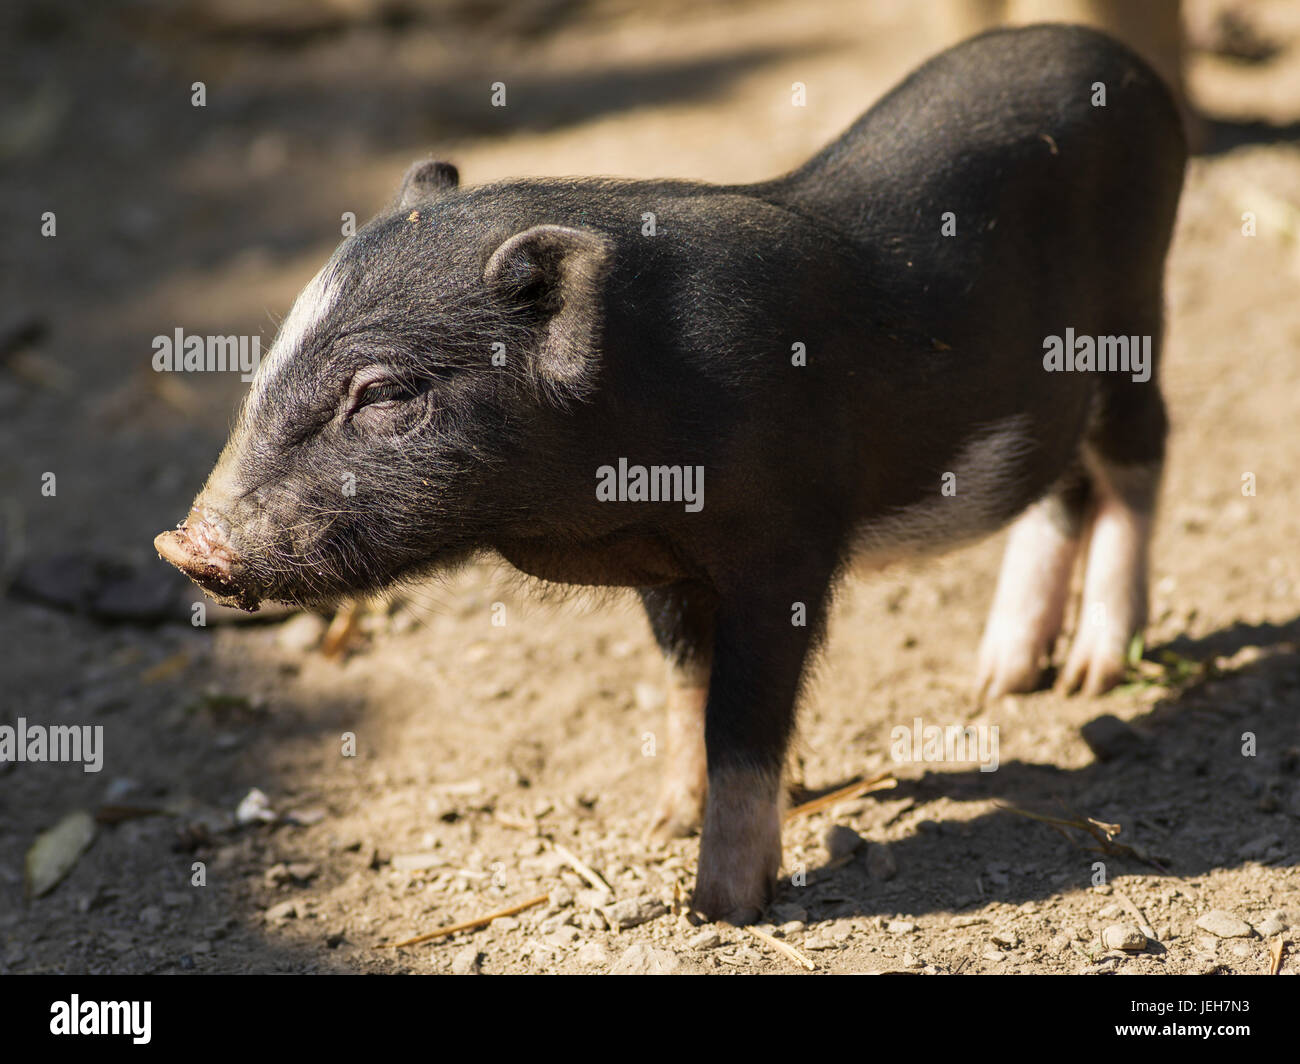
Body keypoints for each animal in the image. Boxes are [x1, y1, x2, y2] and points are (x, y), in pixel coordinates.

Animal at [155, 25, 1186, 922]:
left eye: (381, 392)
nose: (185, 542)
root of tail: (1128, 64)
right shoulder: (668, 567)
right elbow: (687, 681)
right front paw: (662, 820)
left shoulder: (786, 547)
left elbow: (744, 717)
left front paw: (721, 906)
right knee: (1061, 487)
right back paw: (1000, 682)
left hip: (1132, 323)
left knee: (1141, 457)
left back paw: (1091, 675)